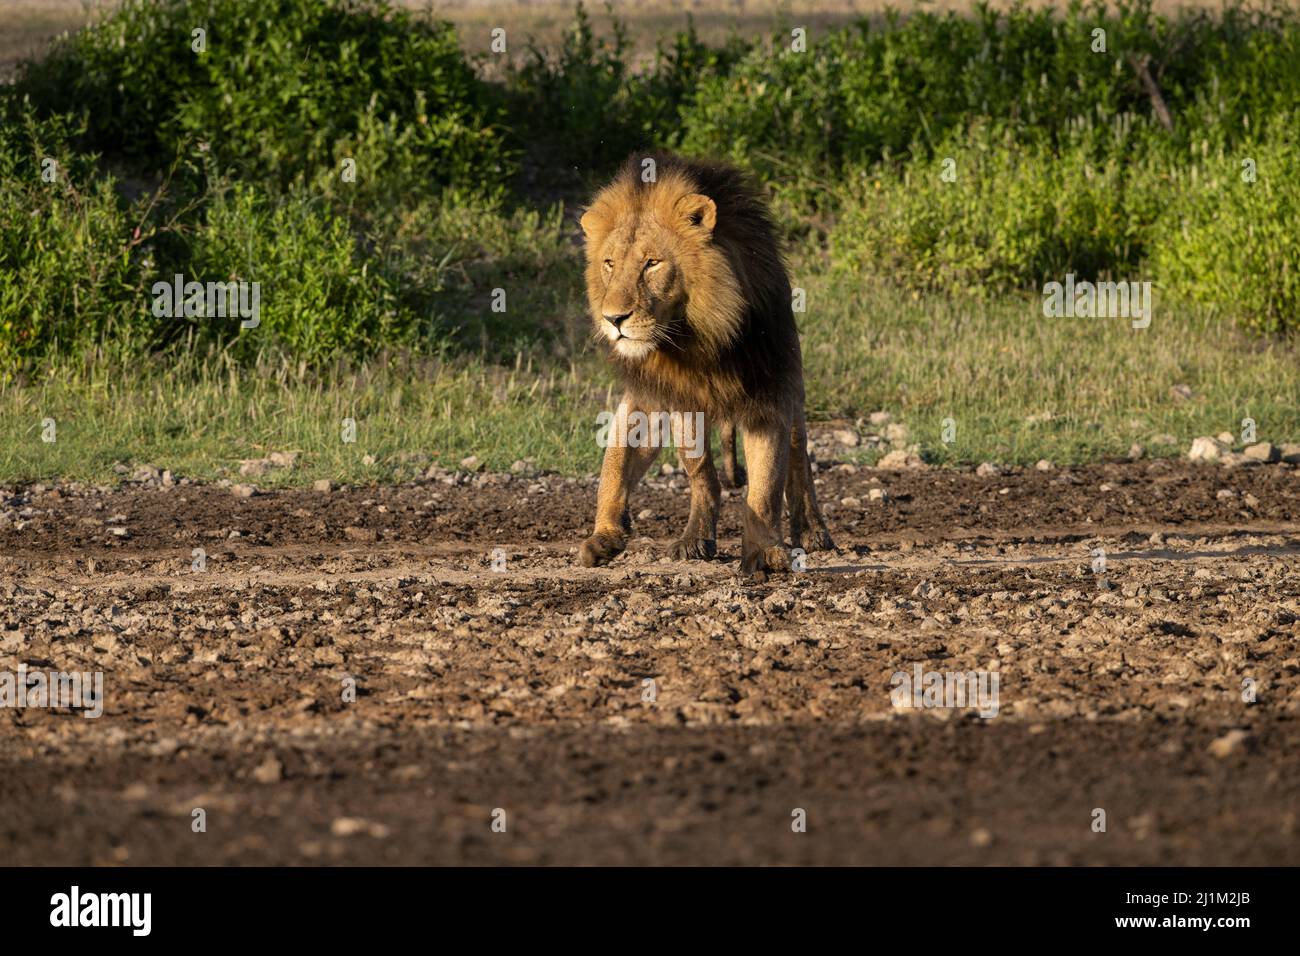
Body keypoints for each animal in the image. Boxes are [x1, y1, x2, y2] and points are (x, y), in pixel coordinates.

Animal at [577, 151, 833, 576]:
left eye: (652, 263)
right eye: (609, 263)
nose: (613, 319)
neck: (691, 341)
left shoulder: (768, 394)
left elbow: (765, 486)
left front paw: (763, 553)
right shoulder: (654, 394)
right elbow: (617, 465)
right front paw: (606, 537)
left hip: (791, 389)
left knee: (799, 460)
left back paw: (813, 532)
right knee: (704, 477)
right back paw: (694, 539)